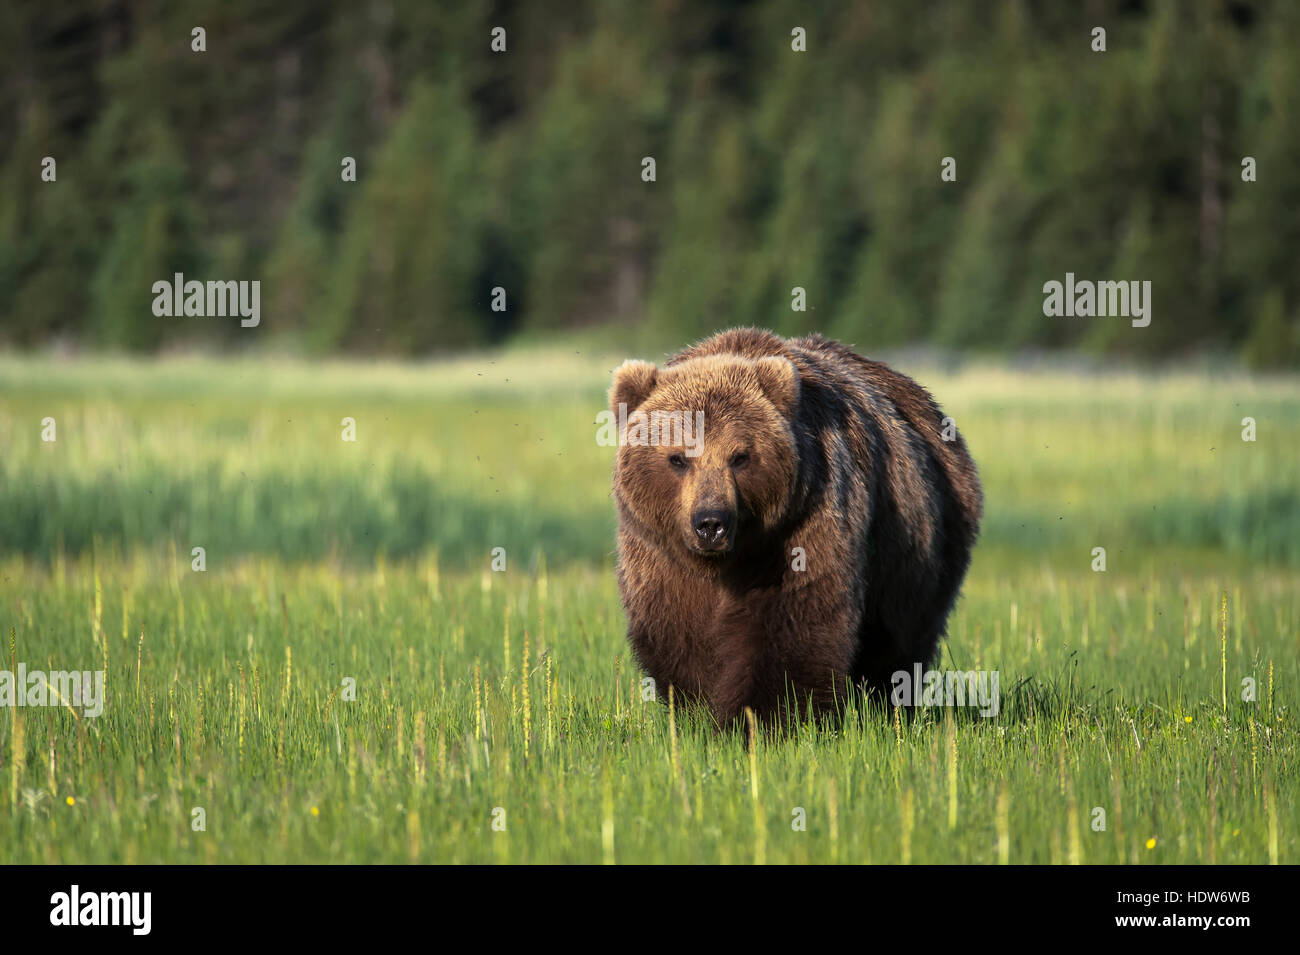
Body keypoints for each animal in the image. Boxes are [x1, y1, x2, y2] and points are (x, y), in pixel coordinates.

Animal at [609, 327, 982, 728]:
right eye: (678, 458)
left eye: (740, 457)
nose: (711, 523)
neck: (731, 560)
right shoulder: (660, 556)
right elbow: (679, 634)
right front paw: (702, 714)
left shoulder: (802, 528)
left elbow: (794, 623)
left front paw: (763, 718)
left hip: (921, 546)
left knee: (898, 642)